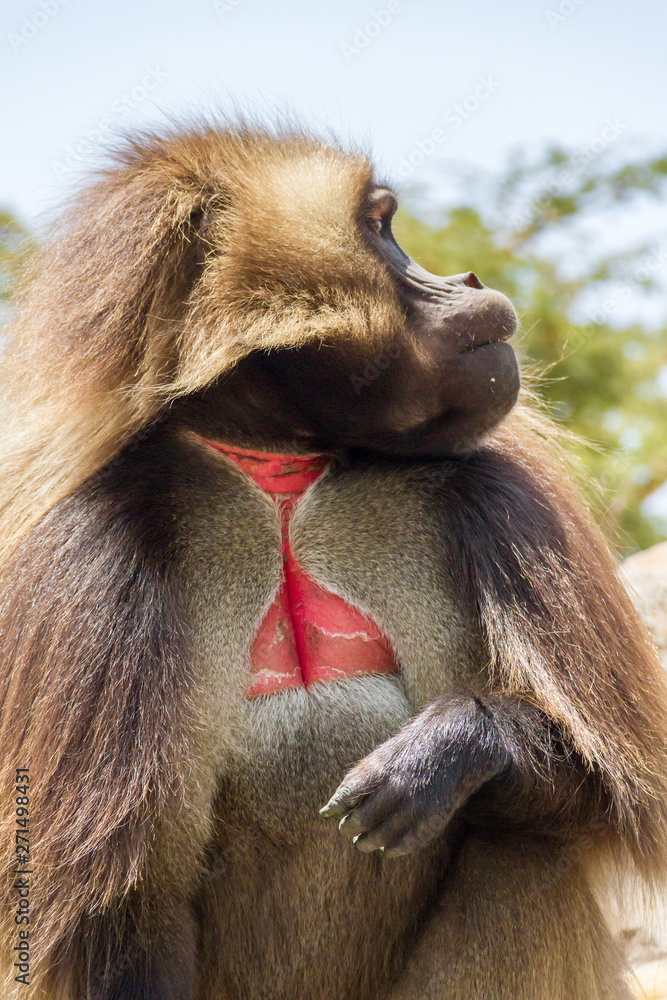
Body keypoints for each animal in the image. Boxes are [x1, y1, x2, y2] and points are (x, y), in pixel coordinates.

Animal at [0, 119, 666, 1000]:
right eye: (381, 225)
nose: (466, 277)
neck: (281, 460)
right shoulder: (89, 557)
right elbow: (122, 912)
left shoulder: (503, 497)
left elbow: (612, 792)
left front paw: (449, 750)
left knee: (524, 850)